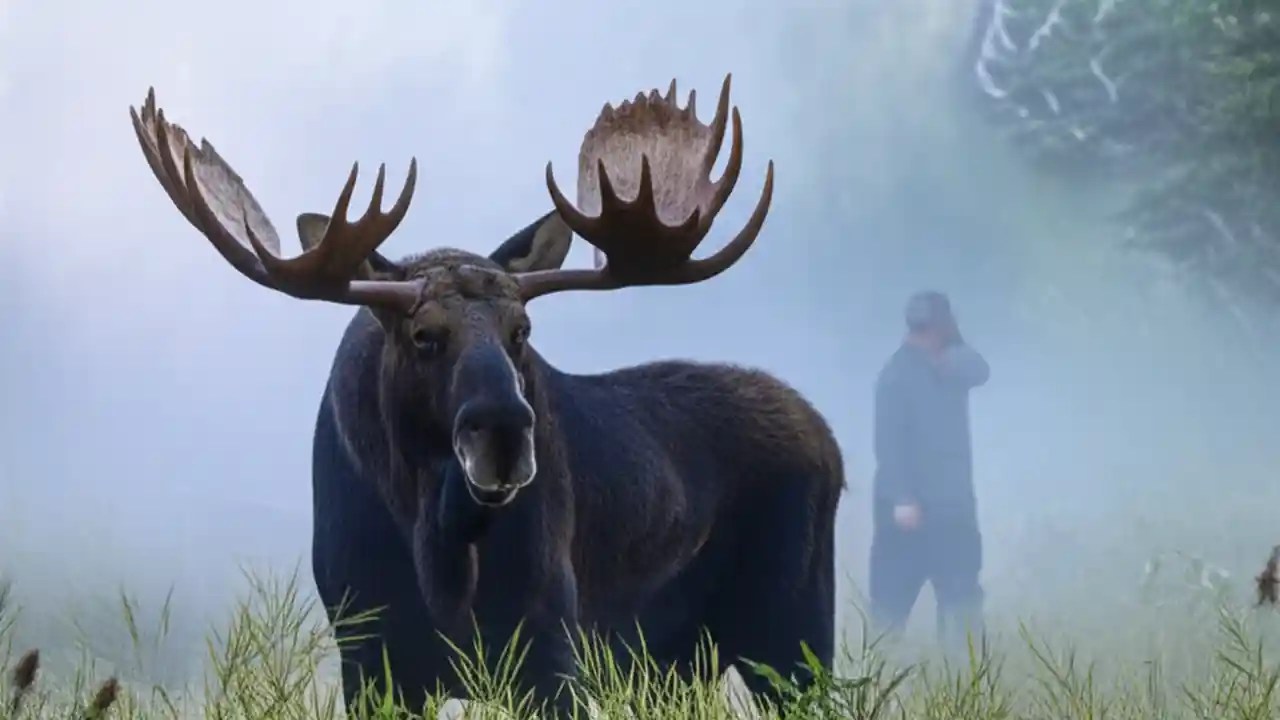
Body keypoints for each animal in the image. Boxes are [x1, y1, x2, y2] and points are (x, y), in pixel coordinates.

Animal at [128, 74, 844, 716]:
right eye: (423, 335)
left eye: (521, 330)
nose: (503, 432)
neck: (437, 538)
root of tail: (830, 443)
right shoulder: (369, 654)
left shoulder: (550, 641)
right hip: (678, 663)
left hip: (792, 629)